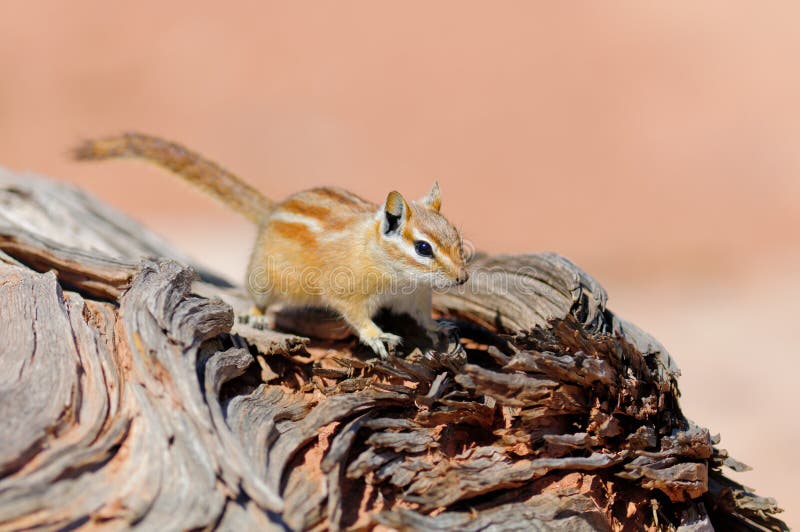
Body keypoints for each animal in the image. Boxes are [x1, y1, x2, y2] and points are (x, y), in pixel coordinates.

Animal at [73, 132, 469, 358]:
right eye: (423, 248)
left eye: (458, 239)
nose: (462, 279)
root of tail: (271, 210)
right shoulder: (350, 290)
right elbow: (355, 315)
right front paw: (377, 335)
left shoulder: (415, 296)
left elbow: (422, 316)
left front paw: (438, 328)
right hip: (264, 275)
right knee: (259, 296)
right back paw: (258, 315)